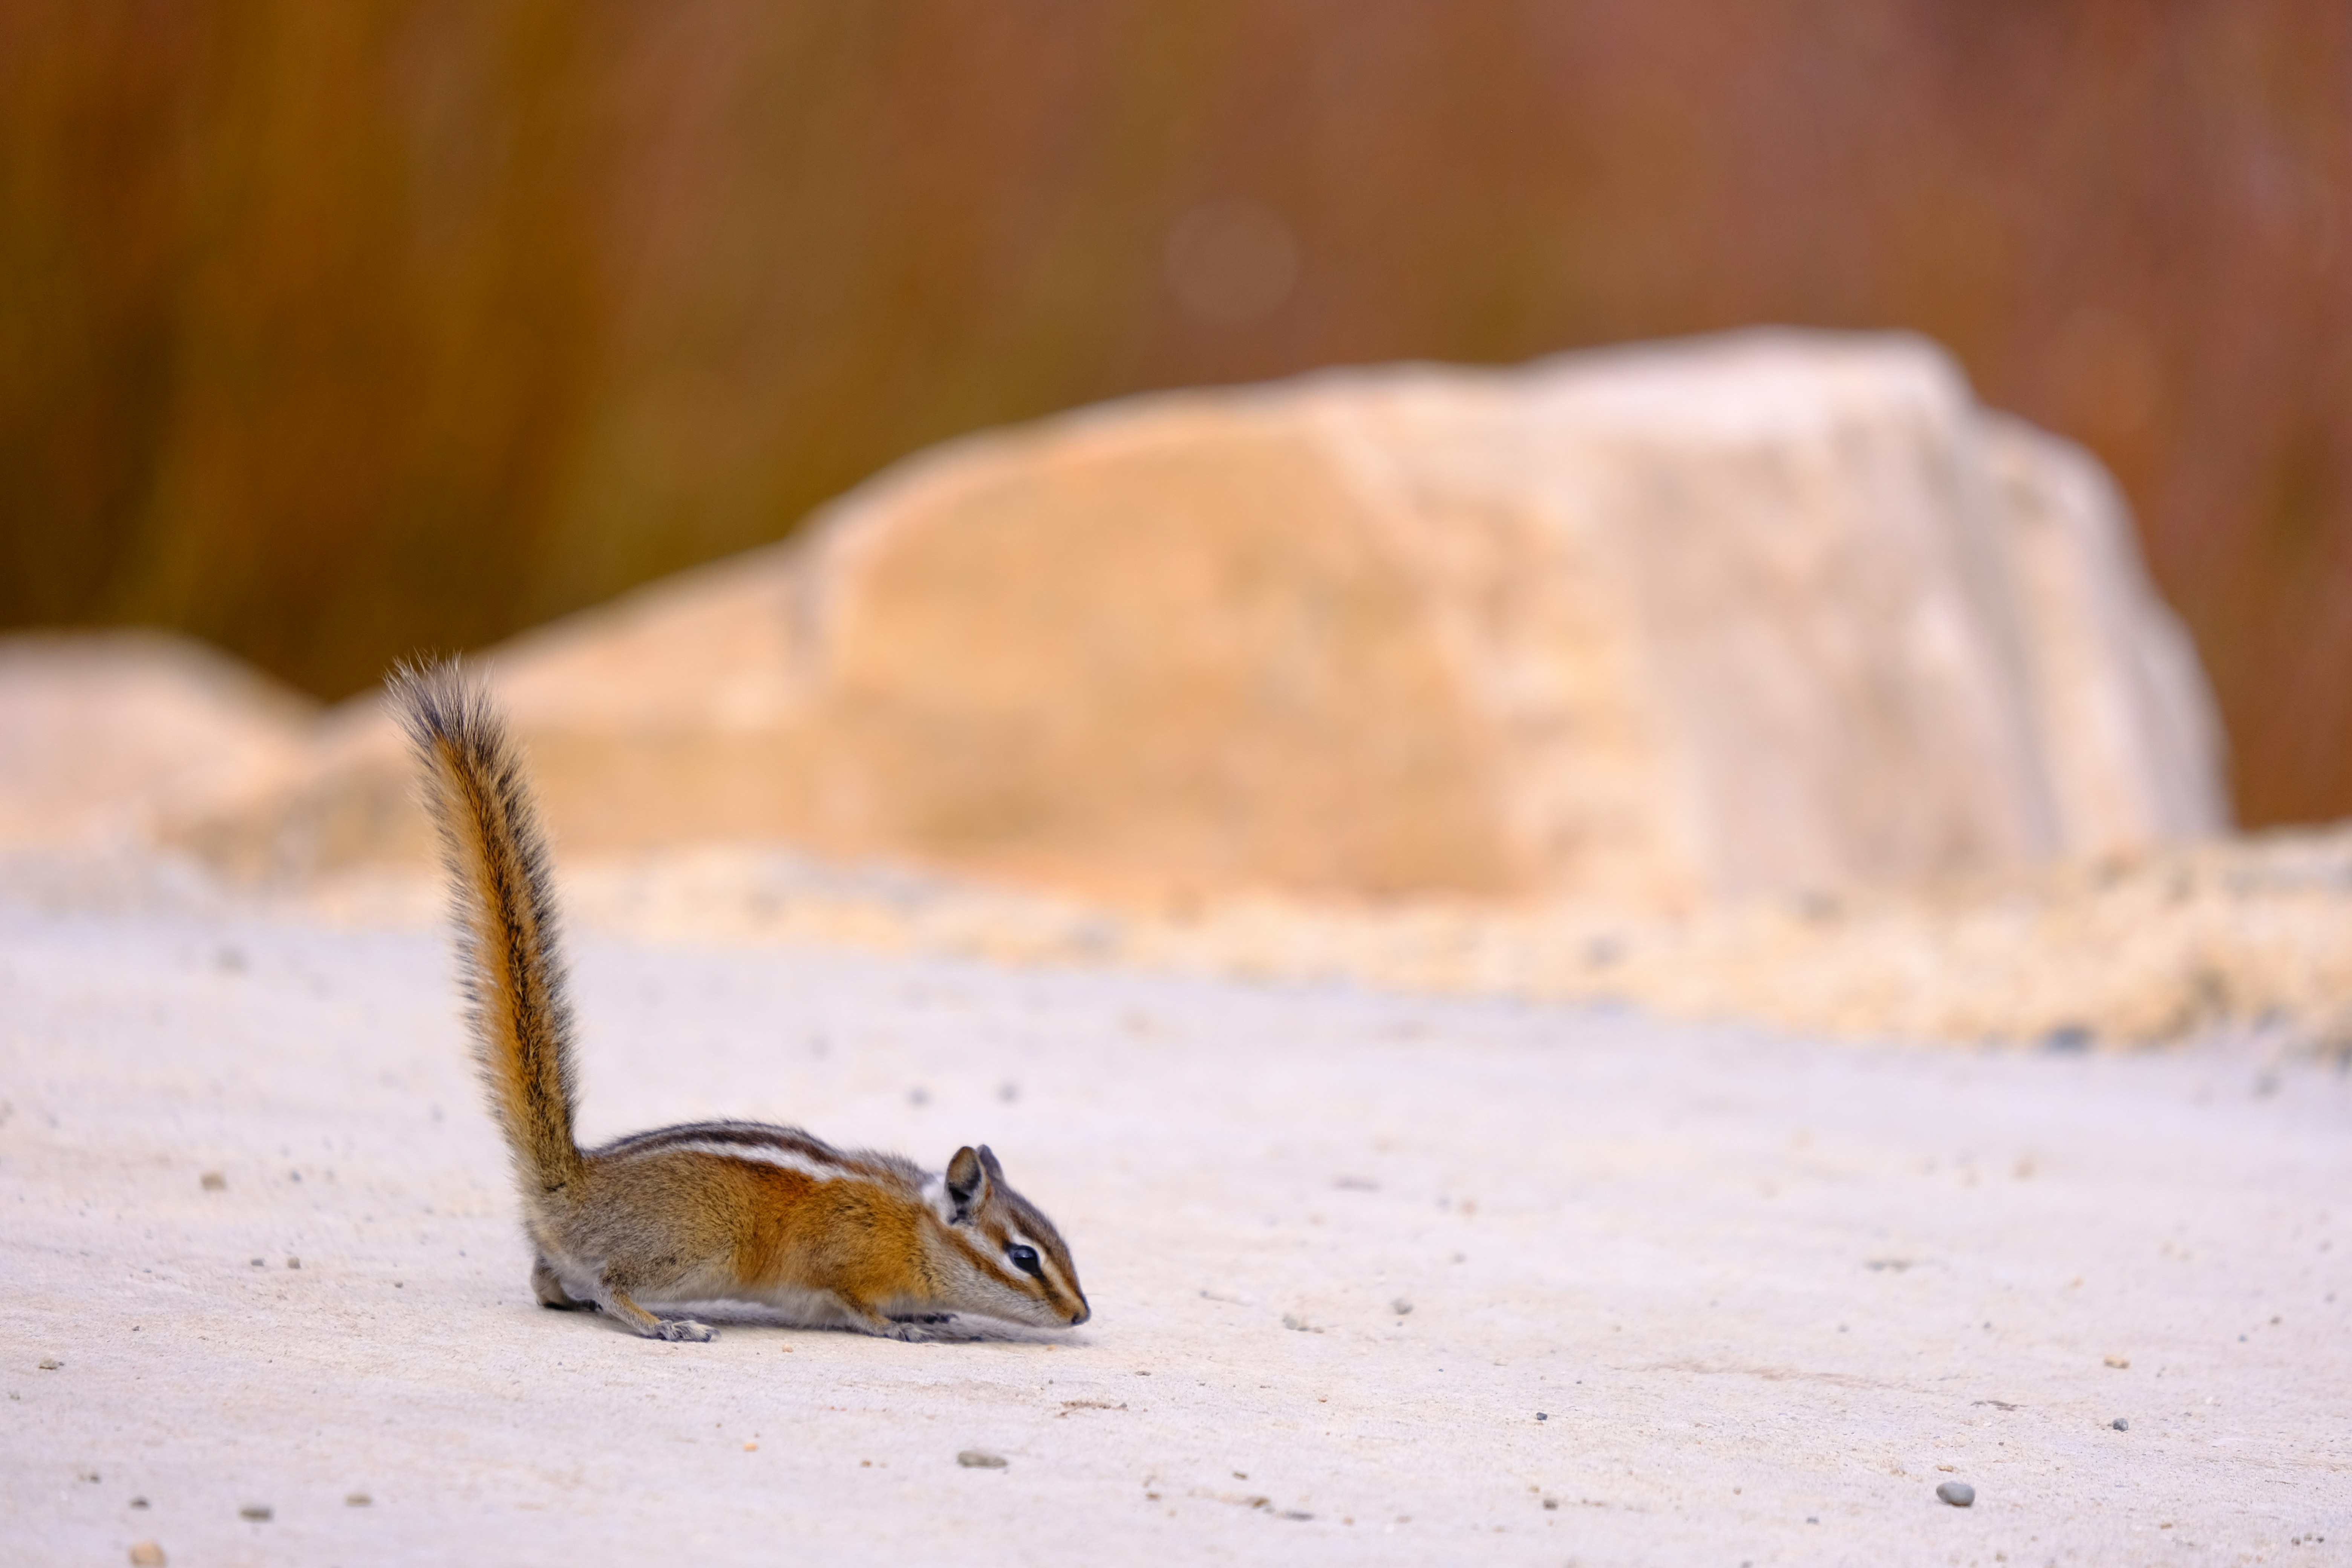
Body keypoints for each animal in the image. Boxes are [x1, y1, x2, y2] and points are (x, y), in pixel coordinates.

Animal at [389, 660, 1089, 1343]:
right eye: (1024, 1256)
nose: (1081, 1313)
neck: (914, 1228)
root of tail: (572, 1183)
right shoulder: (839, 1268)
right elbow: (853, 1305)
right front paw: (899, 1326)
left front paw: (925, 1313)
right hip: (695, 1248)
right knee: (612, 1283)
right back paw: (662, 1324)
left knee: (547, 1282)